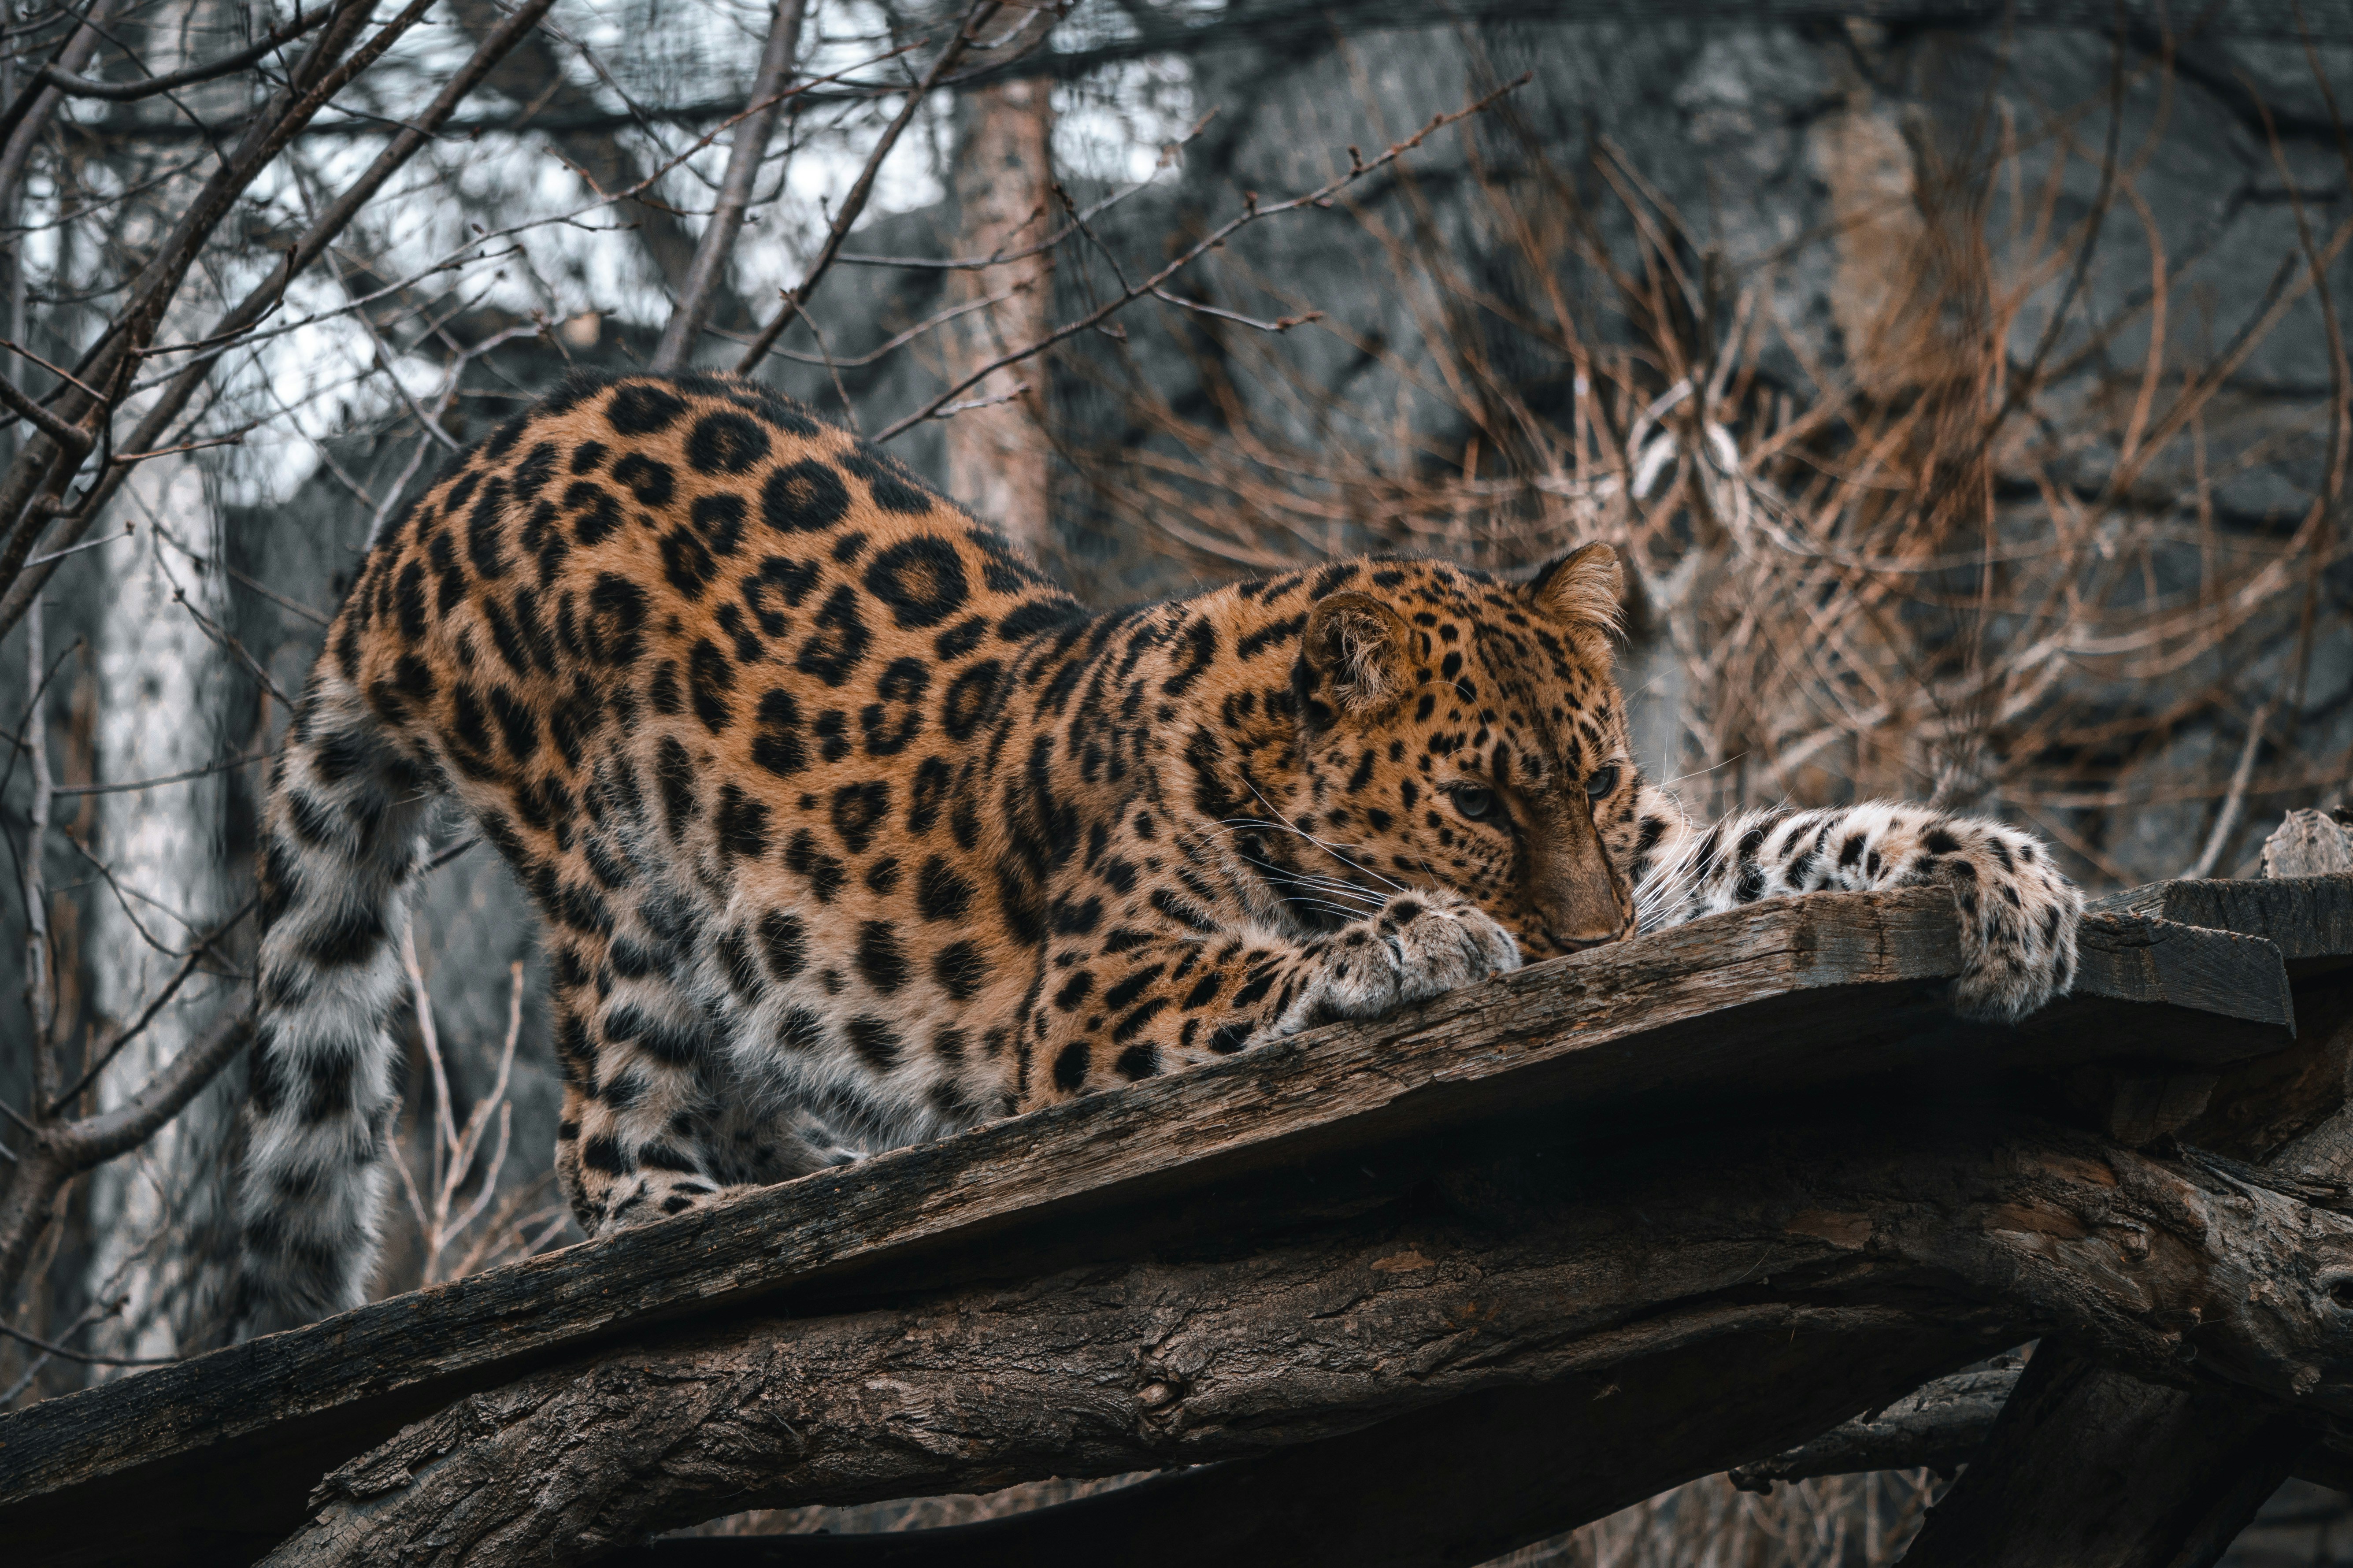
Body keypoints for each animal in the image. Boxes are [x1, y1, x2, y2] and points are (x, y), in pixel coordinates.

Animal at [233, 369, 2082, 1334]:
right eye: (1476, 804)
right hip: (612, 864)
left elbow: (1787, 838)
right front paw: (1415, 941)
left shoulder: (1652, 858)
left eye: (1585, 781)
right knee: (606, 1138)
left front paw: (2006, 881)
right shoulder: (1085, 990)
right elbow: (1254, 954)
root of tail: (433, 499)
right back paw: (703, 1204)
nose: (1574, 952)